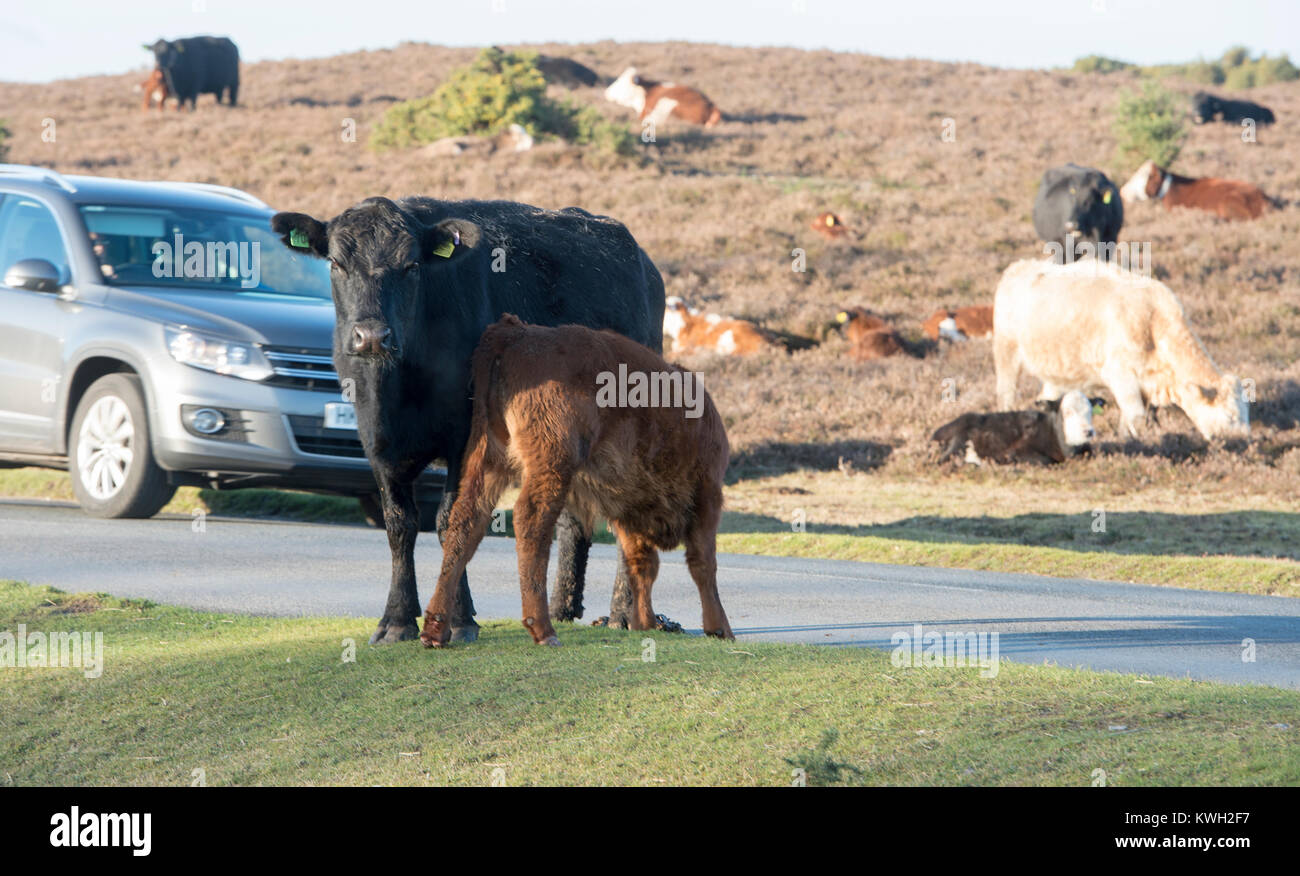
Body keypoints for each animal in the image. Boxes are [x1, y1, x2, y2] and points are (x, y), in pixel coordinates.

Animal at [271, 196, 666, 644]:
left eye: (411, 265)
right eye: (337, 263)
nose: (372, 336)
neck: (400, 387)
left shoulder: (464, 437)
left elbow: (450, 520)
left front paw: (456, 620)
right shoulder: (375, 440)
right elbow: (399, 525)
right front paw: (396, 620)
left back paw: (622, 613)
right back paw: (560, 609)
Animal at [419, 315, 734, 649]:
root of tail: (515, 333)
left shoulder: (625, 511)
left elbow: (642, 565)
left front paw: (644, 623)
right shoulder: (708, 491)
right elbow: (702, 562)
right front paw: (719, 628)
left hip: (488, 461)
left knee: (465, 523)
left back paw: (435, 629)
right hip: (551, 463)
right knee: (530, 521)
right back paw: (543, 629)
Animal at [932, 391, 1095, 466]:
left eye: (1090, 411)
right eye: (1067, 412)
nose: (1088, 431)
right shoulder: (1017, 451)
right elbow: (1044, 460)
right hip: (958, 444)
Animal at [993, 258, 1249, 441]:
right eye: (1230, 415)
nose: (1244, 440)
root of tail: (1018, 268)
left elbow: (1128, 421)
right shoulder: (1120, 376)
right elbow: (1136, 417)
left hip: (1057, 373)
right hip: (1007, 353)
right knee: (1006, 394)